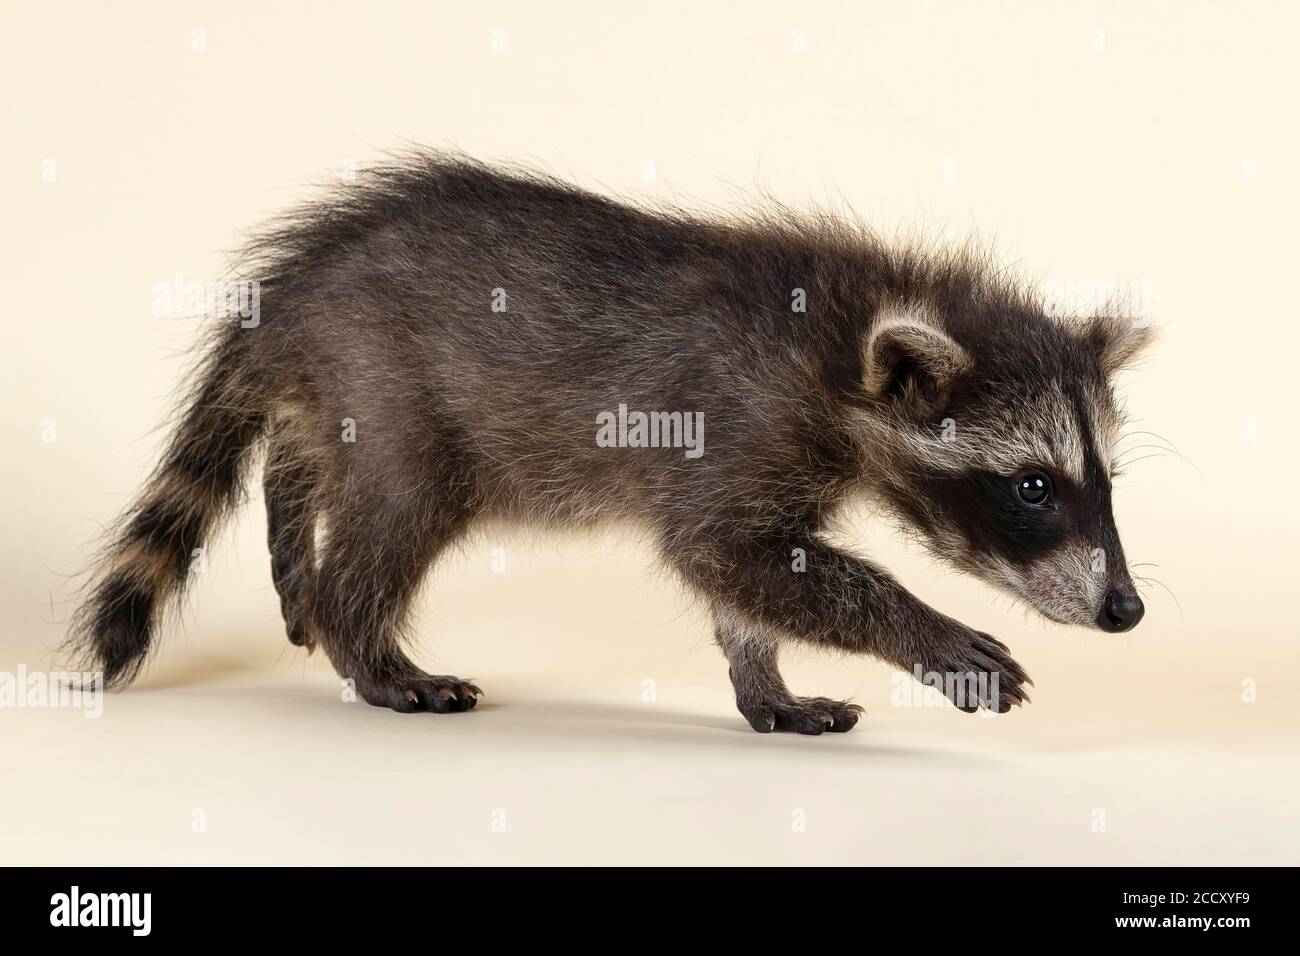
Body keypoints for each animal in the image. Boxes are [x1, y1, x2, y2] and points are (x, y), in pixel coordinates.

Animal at [66, 153, 1152, 733]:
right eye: (1032, 486)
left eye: (1102, 479)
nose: (1126, 609)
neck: (846, 339)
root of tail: (296, 285)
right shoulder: (738, 423)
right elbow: (734, 554)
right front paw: (924, 631)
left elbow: (745, 582)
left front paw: (763, 683)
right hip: (393, 382)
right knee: (394, 515)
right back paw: (363, 644)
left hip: (338, 387)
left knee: (301, 455)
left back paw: (294, 532)